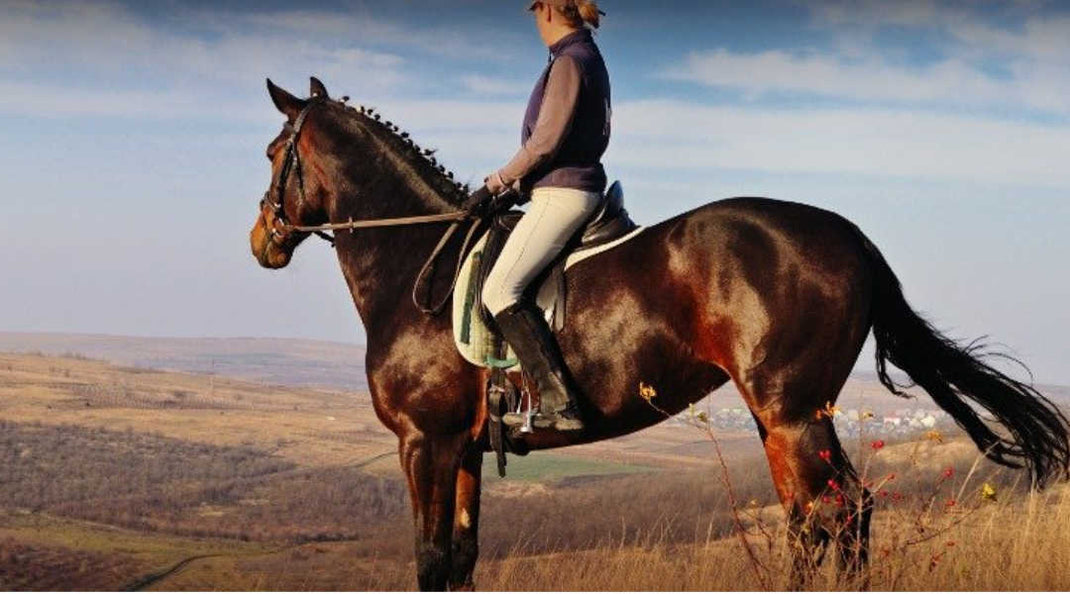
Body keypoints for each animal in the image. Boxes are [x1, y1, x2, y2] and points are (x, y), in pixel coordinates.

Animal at [248, 77, 1069, 590]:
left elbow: (428, 560)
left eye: (272, 154)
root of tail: (851, 237)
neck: (419, 257)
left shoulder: (427, 441)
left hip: (790, 412)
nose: (262, 242)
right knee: (822, 518)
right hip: (789, 417)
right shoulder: (465, 448)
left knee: (833, 515)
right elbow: (461, 559)